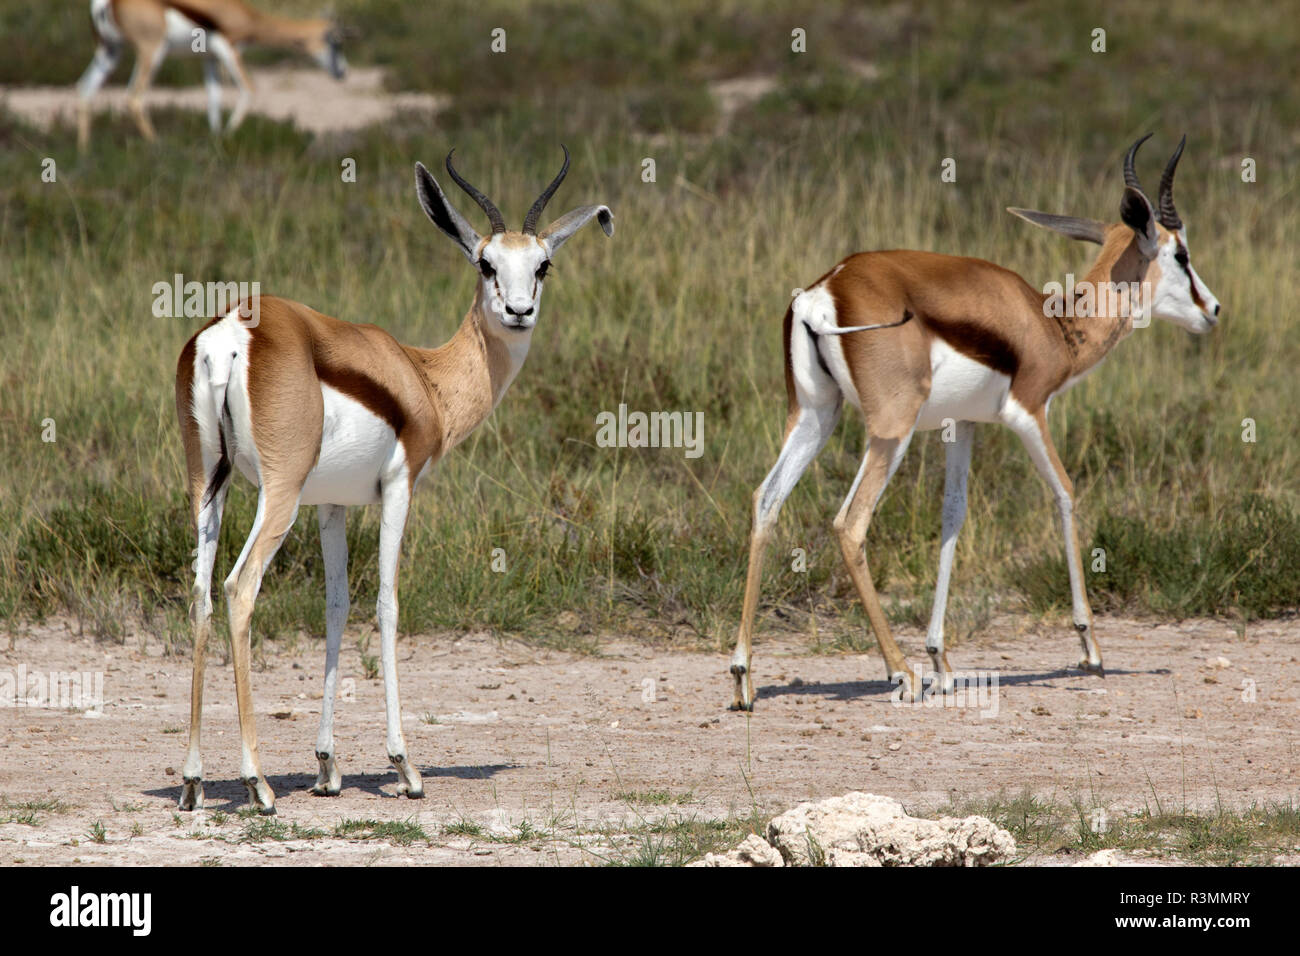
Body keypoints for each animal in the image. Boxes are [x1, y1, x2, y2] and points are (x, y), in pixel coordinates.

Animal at [77, 0, 347, 151]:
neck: (248, 17)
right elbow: (249, 90)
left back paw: (84, 153)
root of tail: (105, 3)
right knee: (134, 97)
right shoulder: (228, 48)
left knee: (84, 91)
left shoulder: (209, 59)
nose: (343, 72)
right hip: (152, 50)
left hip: (110, 51)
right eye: (334, 42)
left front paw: (216, 139)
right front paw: (228, 135)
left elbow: (214, 100)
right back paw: (157, 146)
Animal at [174, 148, 613, 813]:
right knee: (238, 588)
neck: (422, 377)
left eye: (543, 265)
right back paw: (258, 783)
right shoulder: (399, 489)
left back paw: (194, 781)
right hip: (277, 498)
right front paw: (406, 768)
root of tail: (229, 336)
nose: (519, 312)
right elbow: (387, 604)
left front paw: (328, 768)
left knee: (200, 592)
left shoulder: (330, 505)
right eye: (486, 263)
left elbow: (335, 606)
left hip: (209, 484)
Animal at [728, 134, 1220, 712]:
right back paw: (900, 673)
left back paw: (743, 678)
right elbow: (1065, 494)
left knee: (766, 500)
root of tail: (822, 291)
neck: (1052, 327)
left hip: (815, 418)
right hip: (889, 431)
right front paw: (1089, 649)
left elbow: (952, 516)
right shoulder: (1029, 412)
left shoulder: (961, 425)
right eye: (1181, 253)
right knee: (850, 524)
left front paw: (942, 661)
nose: (1212, 309)